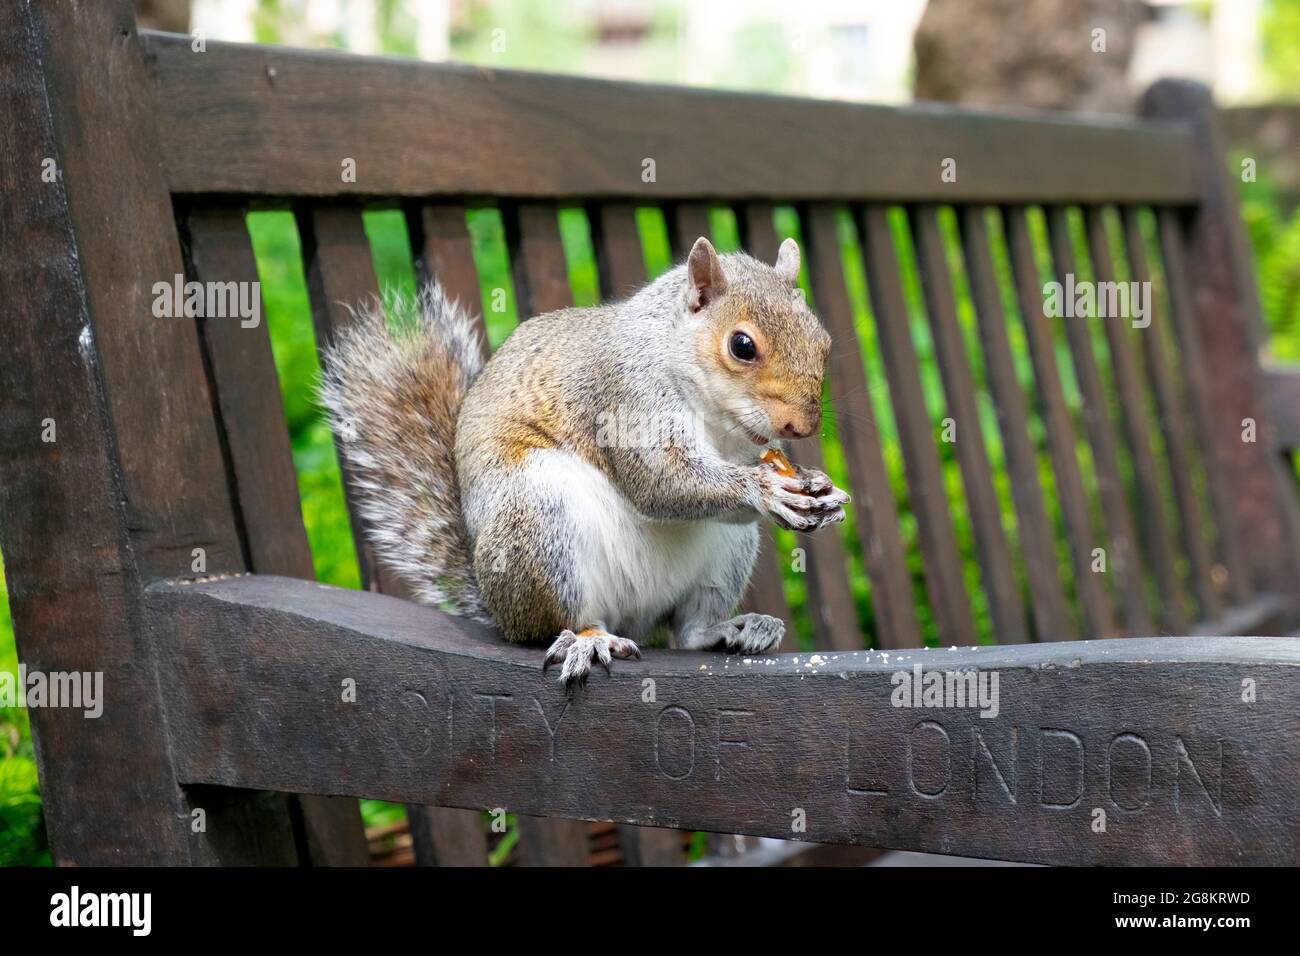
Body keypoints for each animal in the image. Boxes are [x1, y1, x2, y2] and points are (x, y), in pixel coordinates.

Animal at [321, 236, 850, 686]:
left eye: (824, 341)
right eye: (742, 345)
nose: (801, 425)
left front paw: (824, 493)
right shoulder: (624, 398)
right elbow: (662, 482)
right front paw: (765, 488)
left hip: (726, 555)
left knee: (688, 630)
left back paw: (732, 629)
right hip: (538, 521)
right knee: (562, 621)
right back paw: (590, 641)